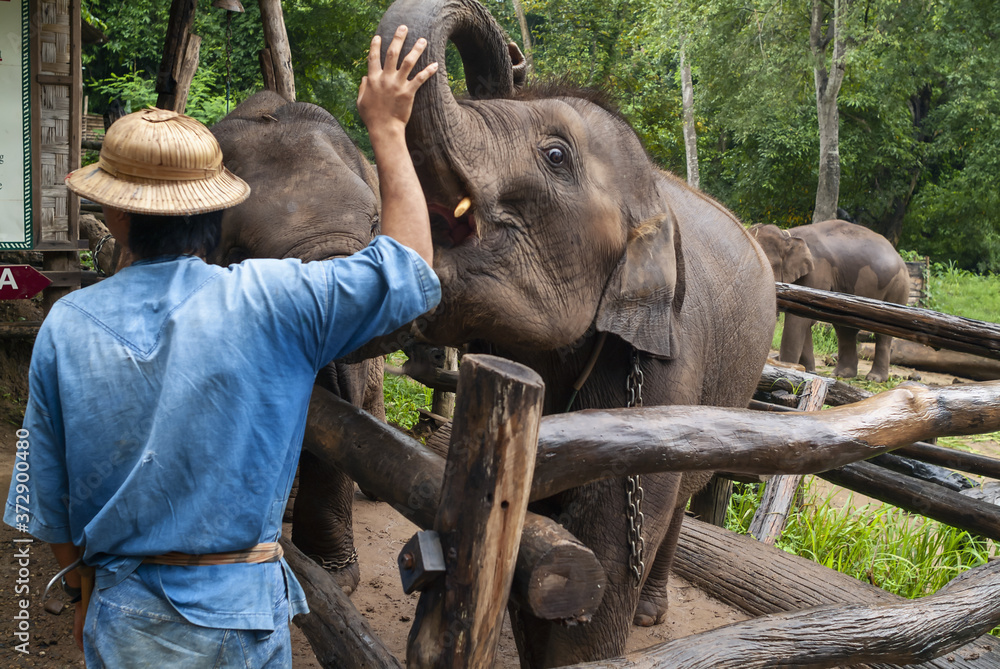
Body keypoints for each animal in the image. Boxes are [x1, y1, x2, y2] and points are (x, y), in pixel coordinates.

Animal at [350, 1, 778, 665]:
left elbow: (607, 548)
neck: (654, 196)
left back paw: (650, 613)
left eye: (555, 155)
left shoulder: (663, 374)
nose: (512, 57)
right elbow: (538, 541)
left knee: (681, 499)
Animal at [749, 219, 910, 383]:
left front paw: (787, 370)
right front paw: (808, 371)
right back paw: (841, 374)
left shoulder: (818, 270)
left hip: (897, 287)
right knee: (845, 329)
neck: (788, 236)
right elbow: (804, 317)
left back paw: (874, 378)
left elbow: (798, 320)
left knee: (884, 334)